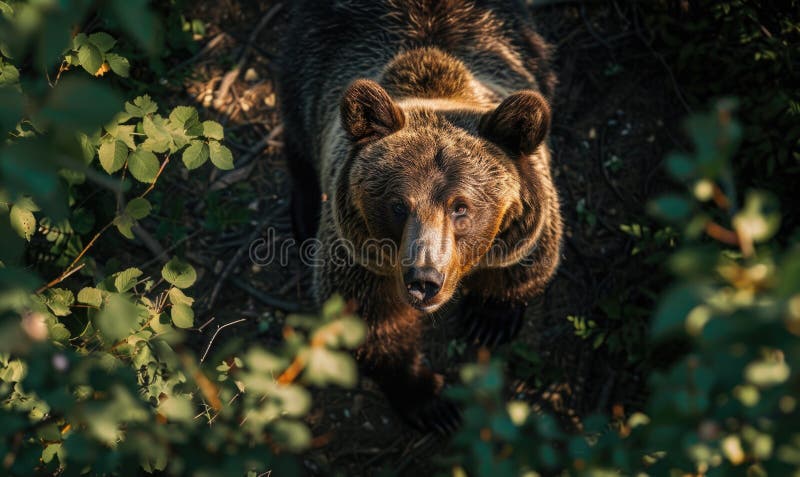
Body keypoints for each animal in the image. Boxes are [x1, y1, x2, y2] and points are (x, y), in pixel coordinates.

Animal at [276, 0, 562, 434]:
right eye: (398, 205)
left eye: (461, 207)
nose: (424, 279)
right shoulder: (361, 261)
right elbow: (372, 326)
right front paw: (433, 404)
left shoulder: (528, 222)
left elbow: (526, 263)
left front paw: (490, 319)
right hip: (308, 62)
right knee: (296, 136)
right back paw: (303, 212)